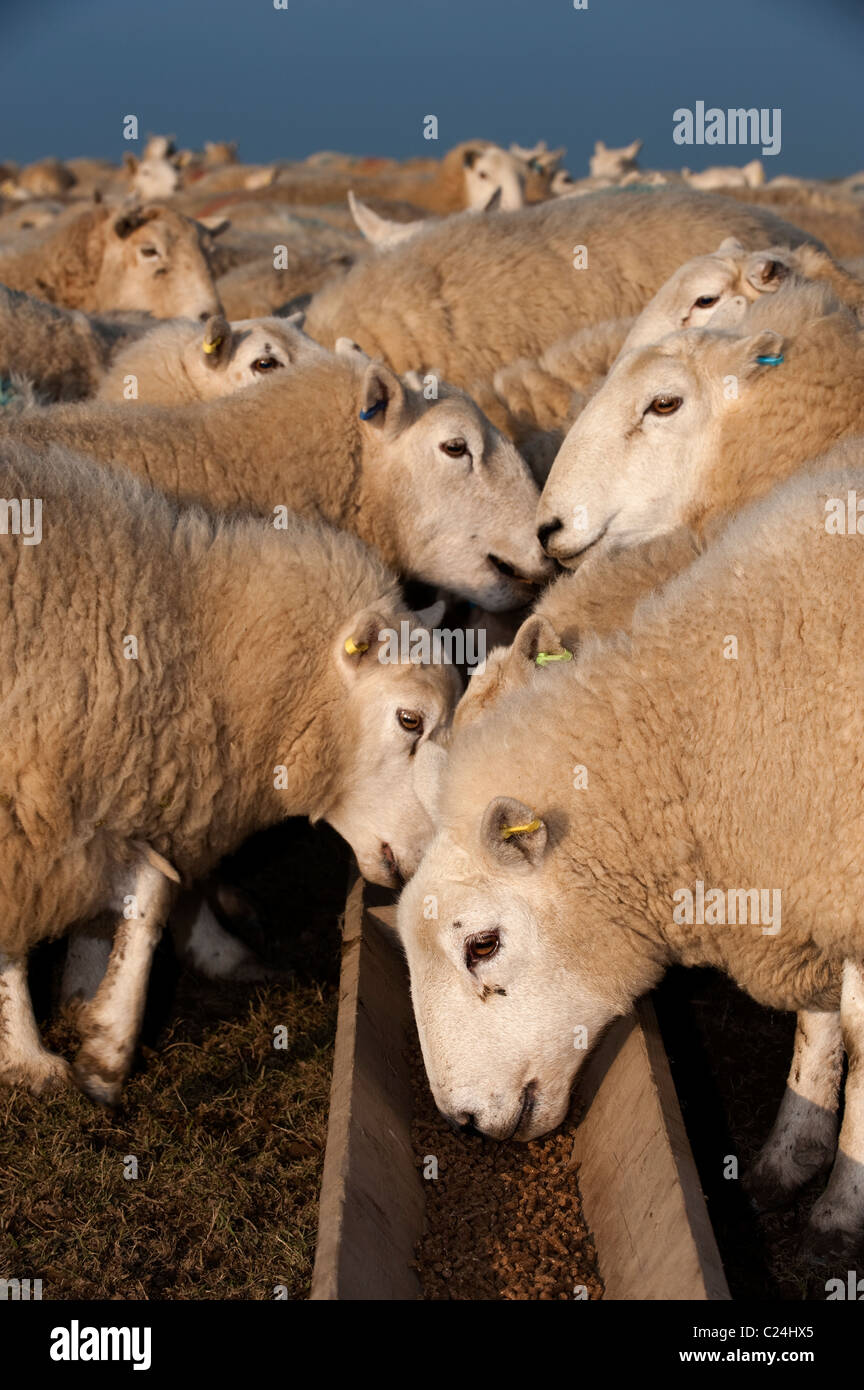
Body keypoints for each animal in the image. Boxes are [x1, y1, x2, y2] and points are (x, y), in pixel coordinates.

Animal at [0, 439, 458, 1102]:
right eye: (409, 719)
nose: (426, 864)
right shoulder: (27, 804)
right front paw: (34, 1057)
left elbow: (152, 888)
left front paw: (100, 1029)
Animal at [398, 460, 864, 1254]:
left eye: (483, 945)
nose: (464, 1122)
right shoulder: (802, 874)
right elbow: (820, 1018)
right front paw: (791, 1151)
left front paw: (841, 1209)